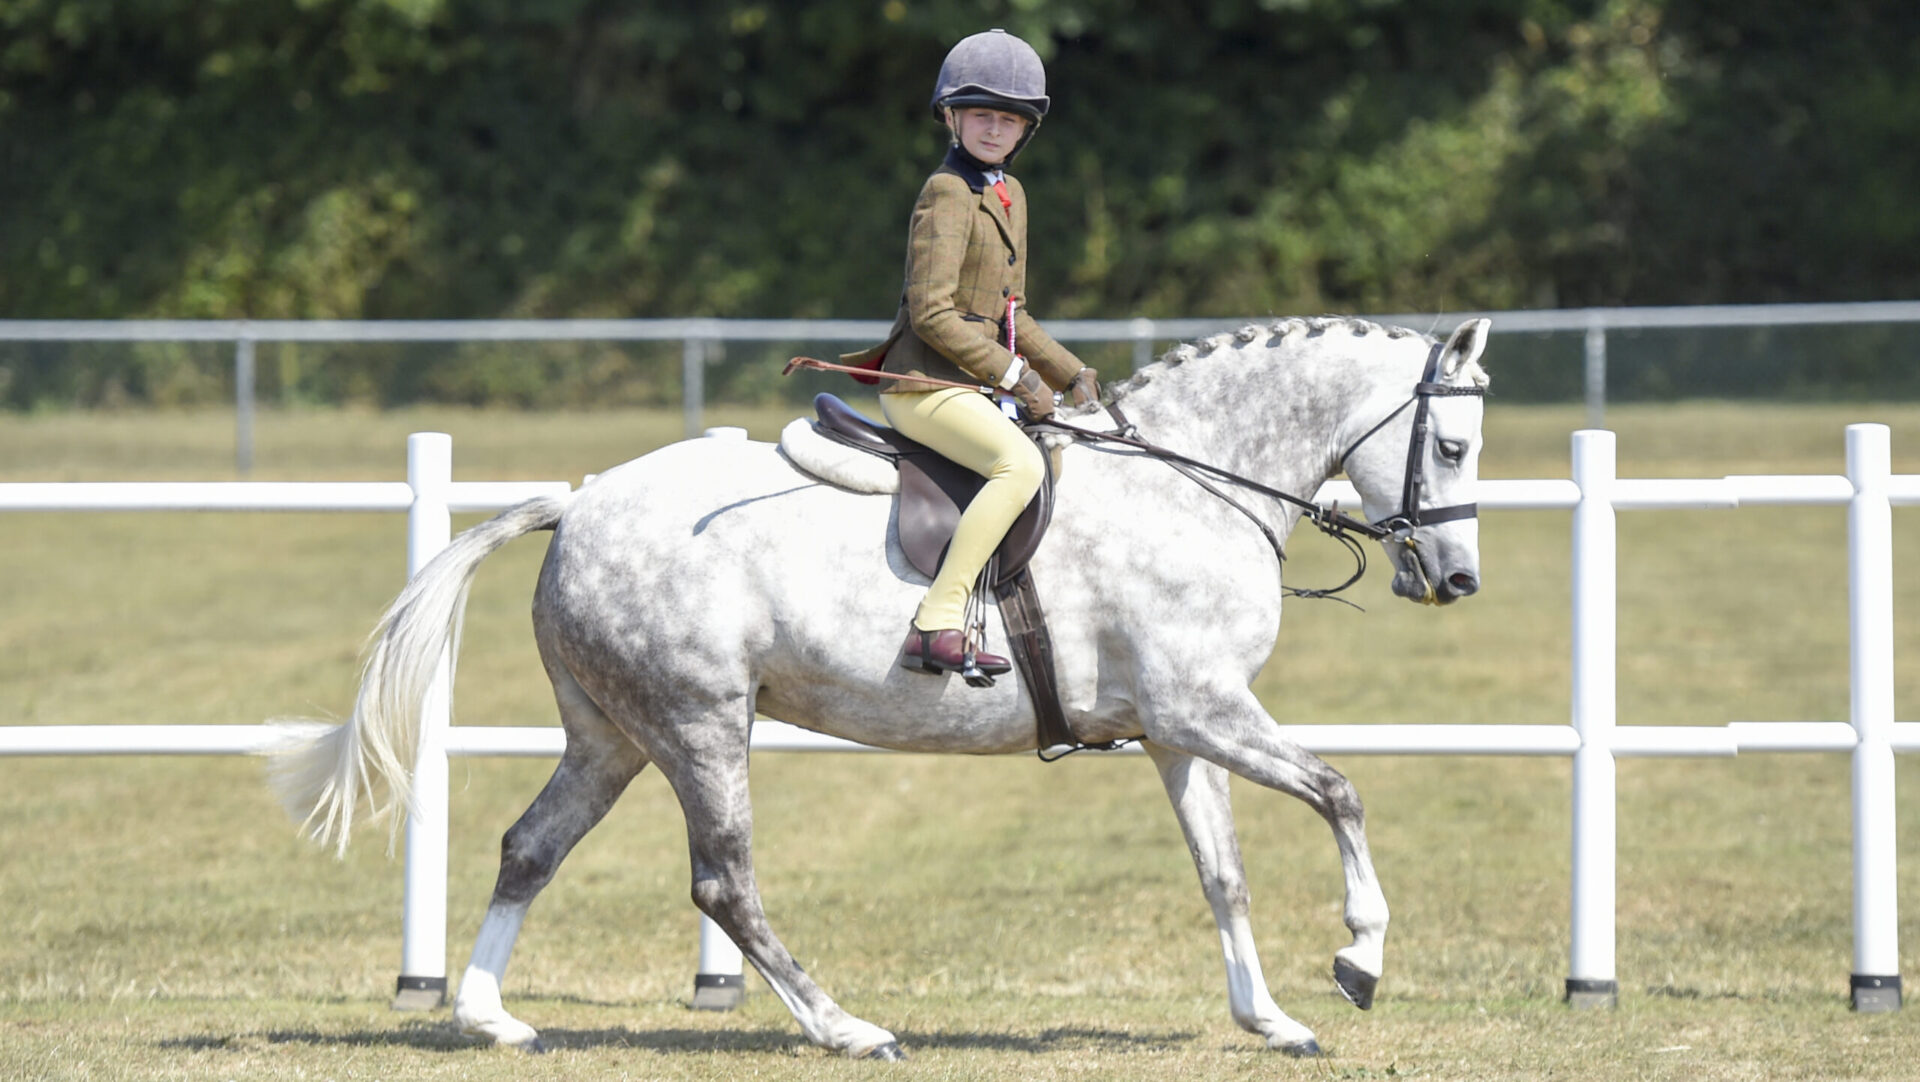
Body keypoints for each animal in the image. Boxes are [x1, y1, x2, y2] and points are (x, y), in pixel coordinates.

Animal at [271, 315, 1492, 1060]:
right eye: (1456, 446)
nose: (1457, 580)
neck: (1191, 485)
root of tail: (577, 503)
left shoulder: (1179, 730)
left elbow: (1223, 874)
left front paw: (1271, 1016)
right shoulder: (1205, 710)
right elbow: (1339, 792)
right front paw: (1359, 958)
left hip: (611, 735)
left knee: (532, 845)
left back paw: (489, 1016)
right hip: (701, 724)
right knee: (725, 883)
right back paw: (847, 1027)